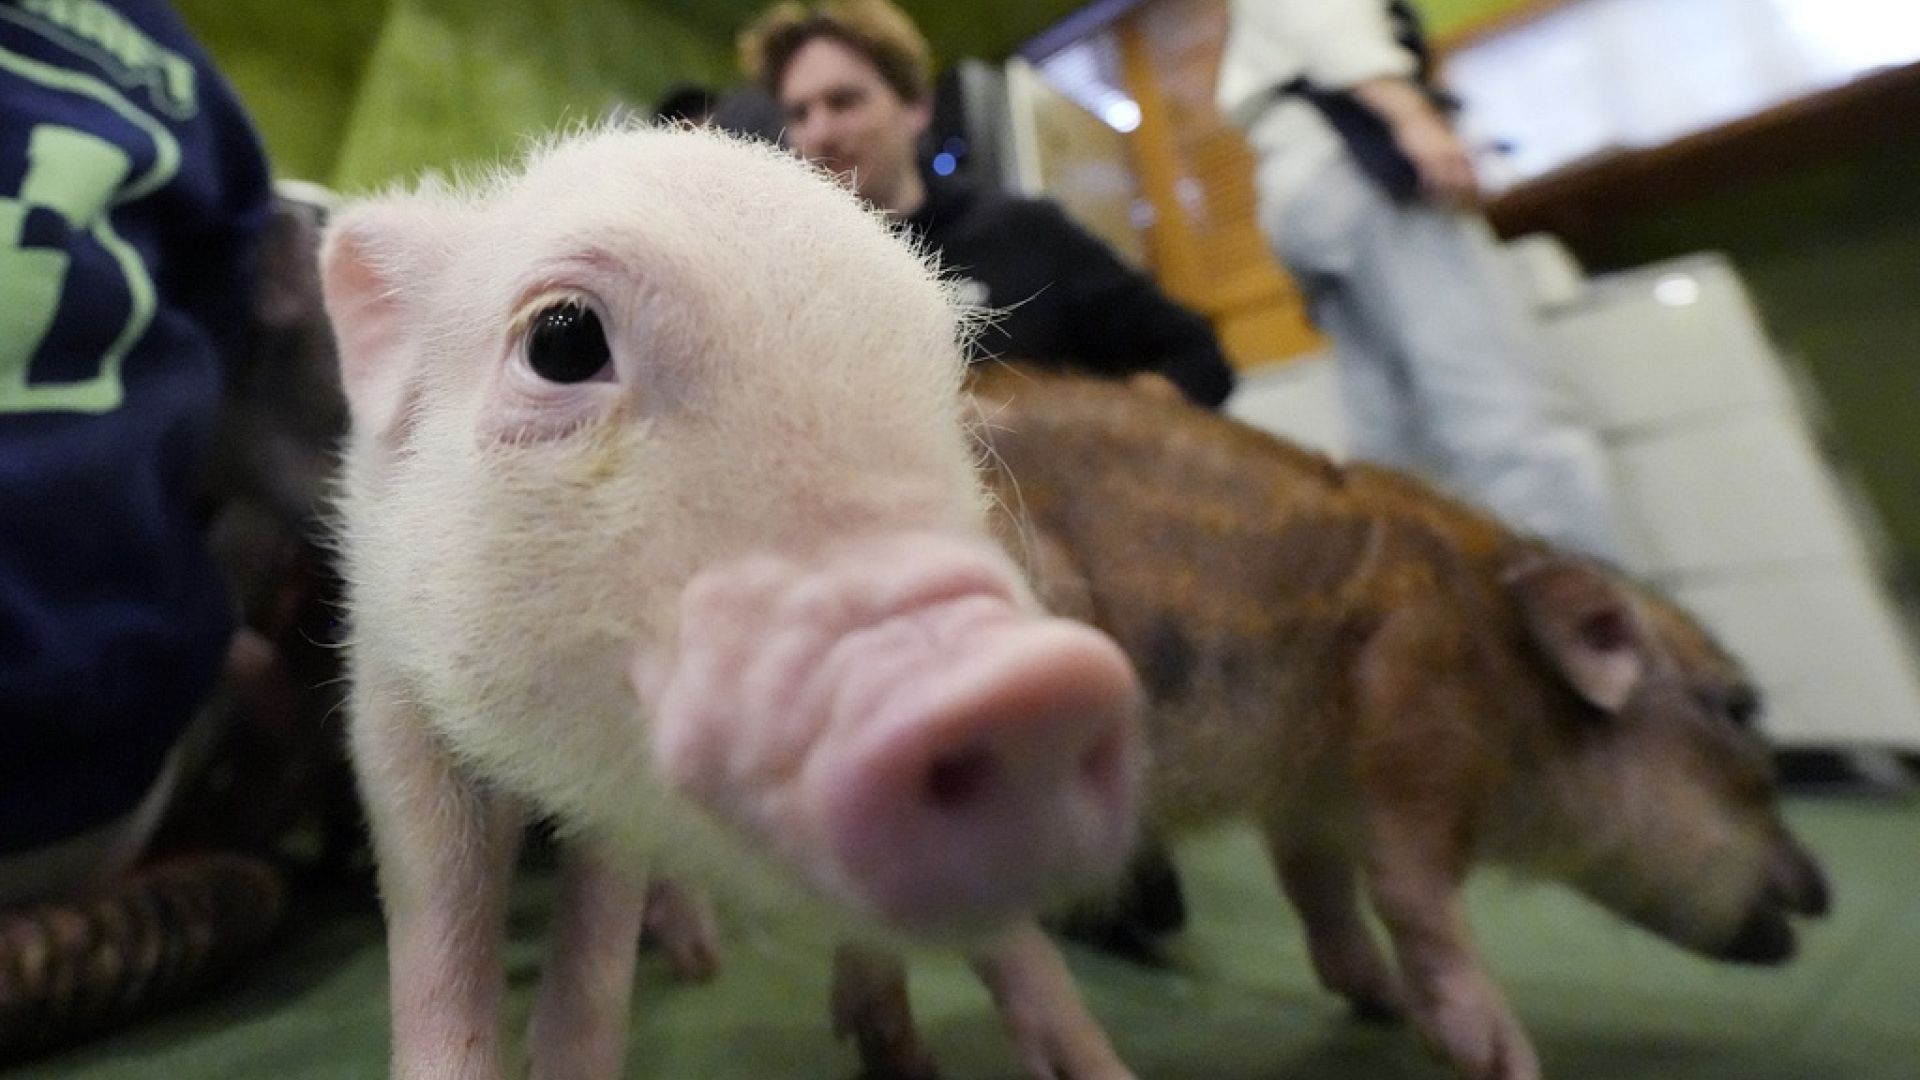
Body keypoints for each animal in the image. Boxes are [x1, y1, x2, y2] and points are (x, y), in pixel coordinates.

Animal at [320, 124, 1148, 1080]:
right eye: (563, 341)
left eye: (940, 392)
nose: (1027, 692)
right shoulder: (386, 686)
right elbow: (440, 911)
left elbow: (598, 929)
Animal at [831, 368, 1831, 1080]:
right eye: (1739, 709)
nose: (1823, 891)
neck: (1505, 674)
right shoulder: (1415, 730)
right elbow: (1413, 893)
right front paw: (1506, 1063)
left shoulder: (1307, 796)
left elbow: (1318, 888)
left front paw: (1381, 1004)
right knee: (995, 930)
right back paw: (1097, 1072)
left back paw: (897, 1057)